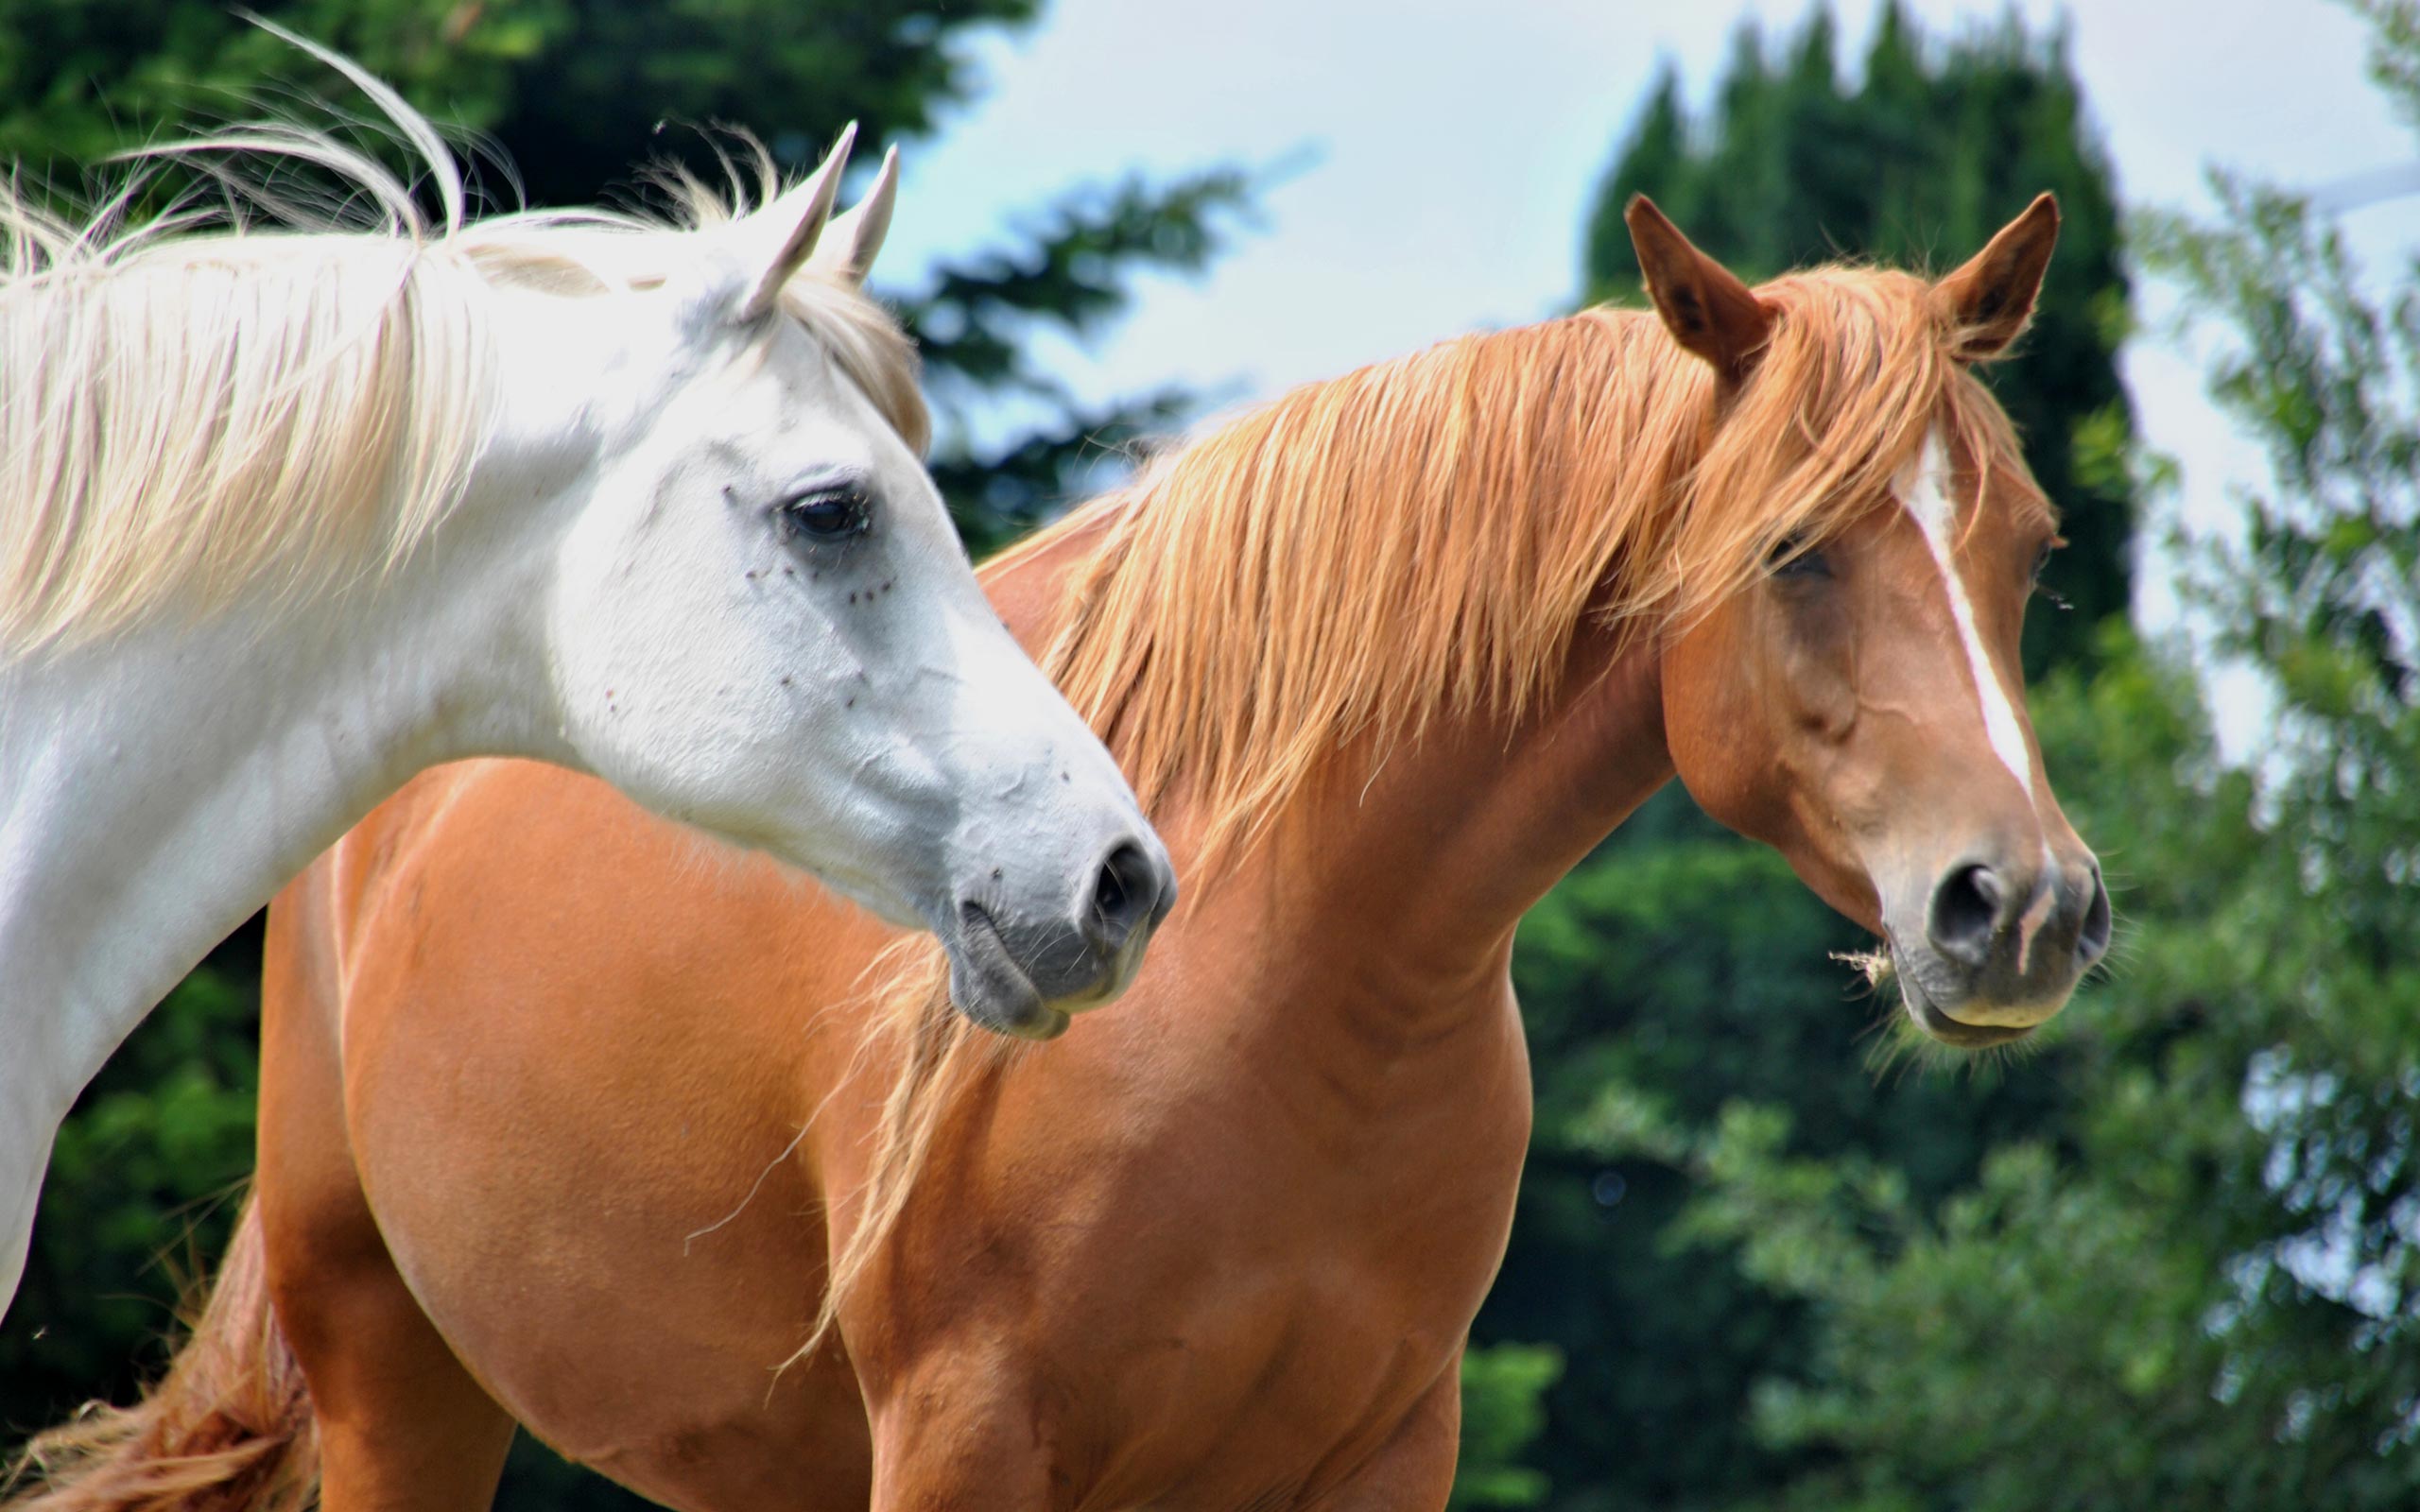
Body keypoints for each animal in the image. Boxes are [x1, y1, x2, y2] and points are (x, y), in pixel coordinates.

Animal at [12, 195, 2111, 1511]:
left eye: (2025, 548)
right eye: (1796, 551)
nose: (2019, 905)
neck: (1295, 984)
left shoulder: (1371, 1461)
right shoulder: (966, 1446)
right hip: (397, 1380)